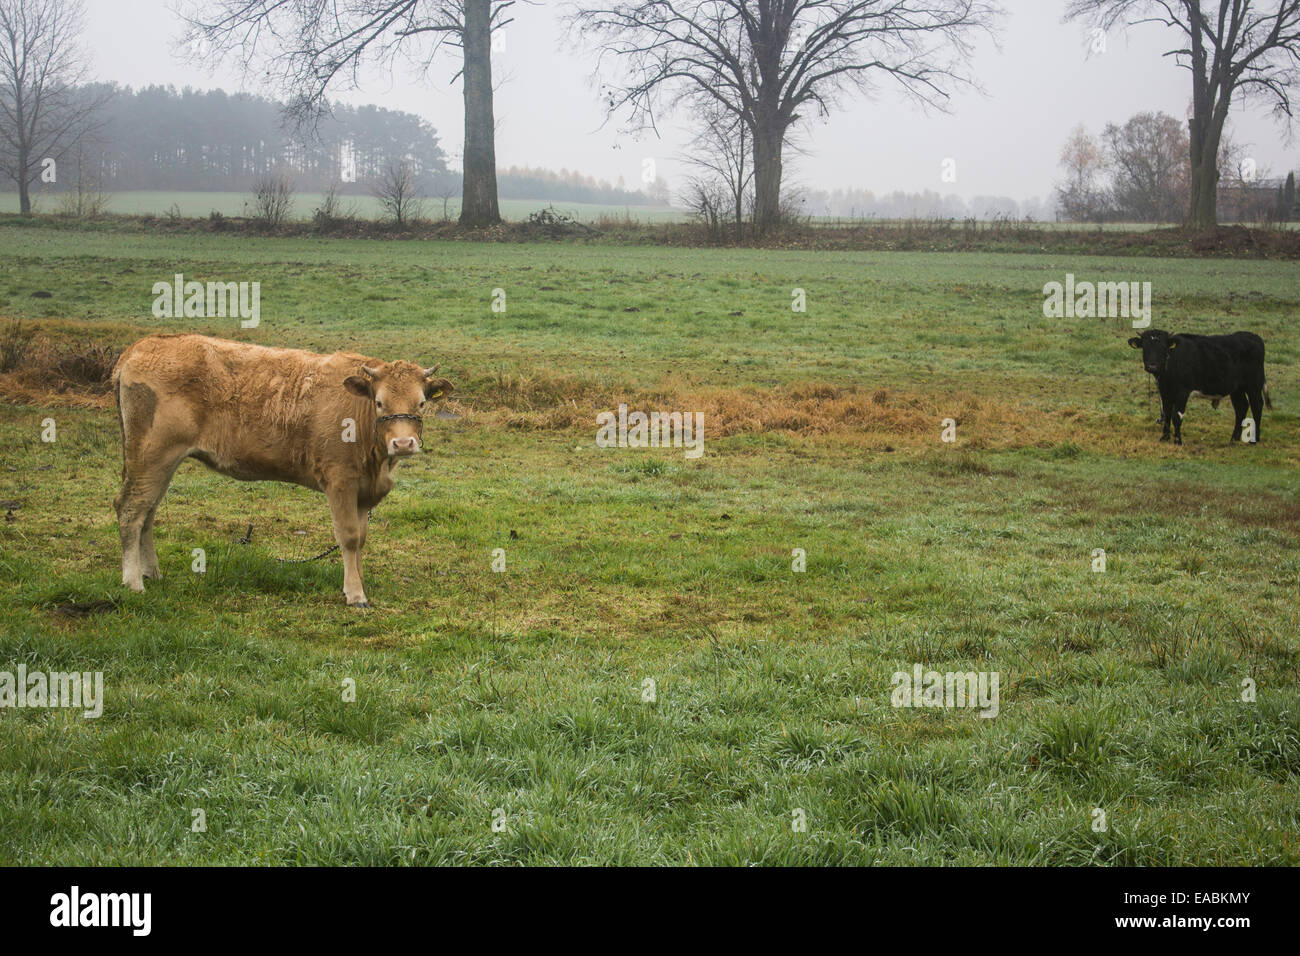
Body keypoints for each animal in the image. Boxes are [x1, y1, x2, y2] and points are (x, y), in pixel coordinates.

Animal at [112, 334, 454, 607]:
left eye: (421, 403)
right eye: (380, 403)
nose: (403, 443)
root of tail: (142, 346)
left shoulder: (364, 491)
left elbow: (361, 540)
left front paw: (357, 583)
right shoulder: (340, 481)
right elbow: (348, 537)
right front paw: (355, 595)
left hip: (162, 463)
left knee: (148, 513)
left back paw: (152, 572)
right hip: (151, 455)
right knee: (131, 509)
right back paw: (134, 582)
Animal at [1128, 329, 1271, 445]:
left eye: (1163, 347)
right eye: (1145, 347)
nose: (1152, 366)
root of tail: (1253, 337)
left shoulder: (1182, 391)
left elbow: (1176, 416)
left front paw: (1178, 441)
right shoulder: (1165, 391)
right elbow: (1167, 414)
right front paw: (1164, 438)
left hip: (1253, 385)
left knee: (1257, 405)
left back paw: (1254, 439)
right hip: (1237, 389)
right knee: (1241, 407)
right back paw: (1233, 439)